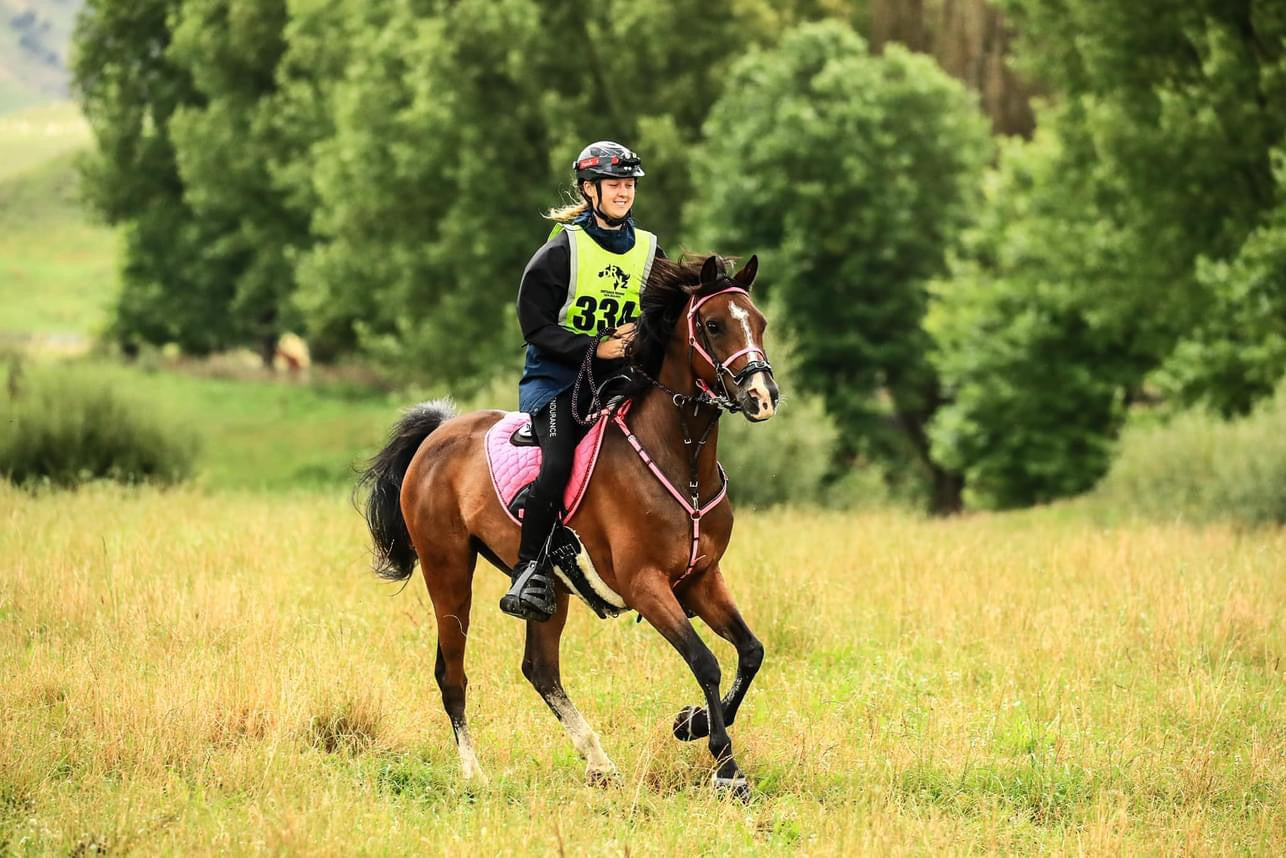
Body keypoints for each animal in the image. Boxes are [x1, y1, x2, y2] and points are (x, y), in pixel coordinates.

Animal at [358, 254, 780, 798]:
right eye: (712, 325)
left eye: (760, 323)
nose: (762, 395)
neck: (681, 459)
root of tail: (439, 432)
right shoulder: (647, 585)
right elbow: (705, 661)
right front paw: (727, 768)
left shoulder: (701, 579)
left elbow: (750, 651)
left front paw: (693, 723)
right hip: (447, 568)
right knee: (451, 672)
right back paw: (476, 775)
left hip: (551, 589)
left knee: (540, 669)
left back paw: (599, 763)